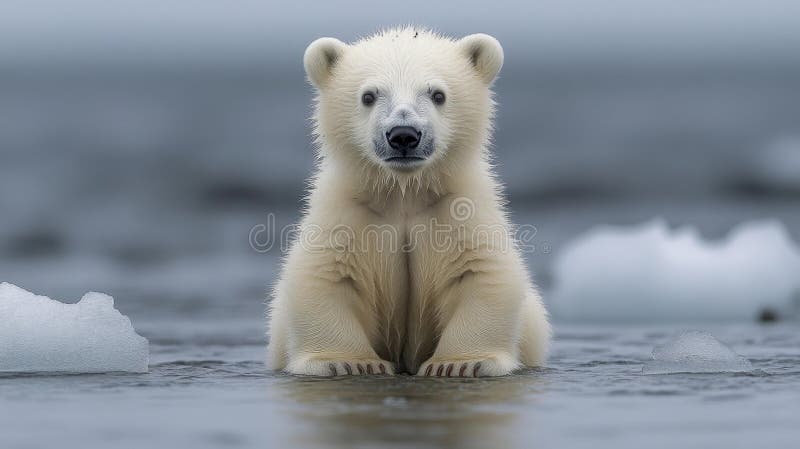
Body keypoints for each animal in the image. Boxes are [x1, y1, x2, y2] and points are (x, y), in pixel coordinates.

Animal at [266, 27, 550, 377]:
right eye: (369, 96)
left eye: (437, 94)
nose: (403, 134)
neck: (404, 192)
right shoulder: (348, 212)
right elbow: (323, 276)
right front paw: (349, 362)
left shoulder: (456, 209)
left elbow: (482, 272)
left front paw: (460, 363)